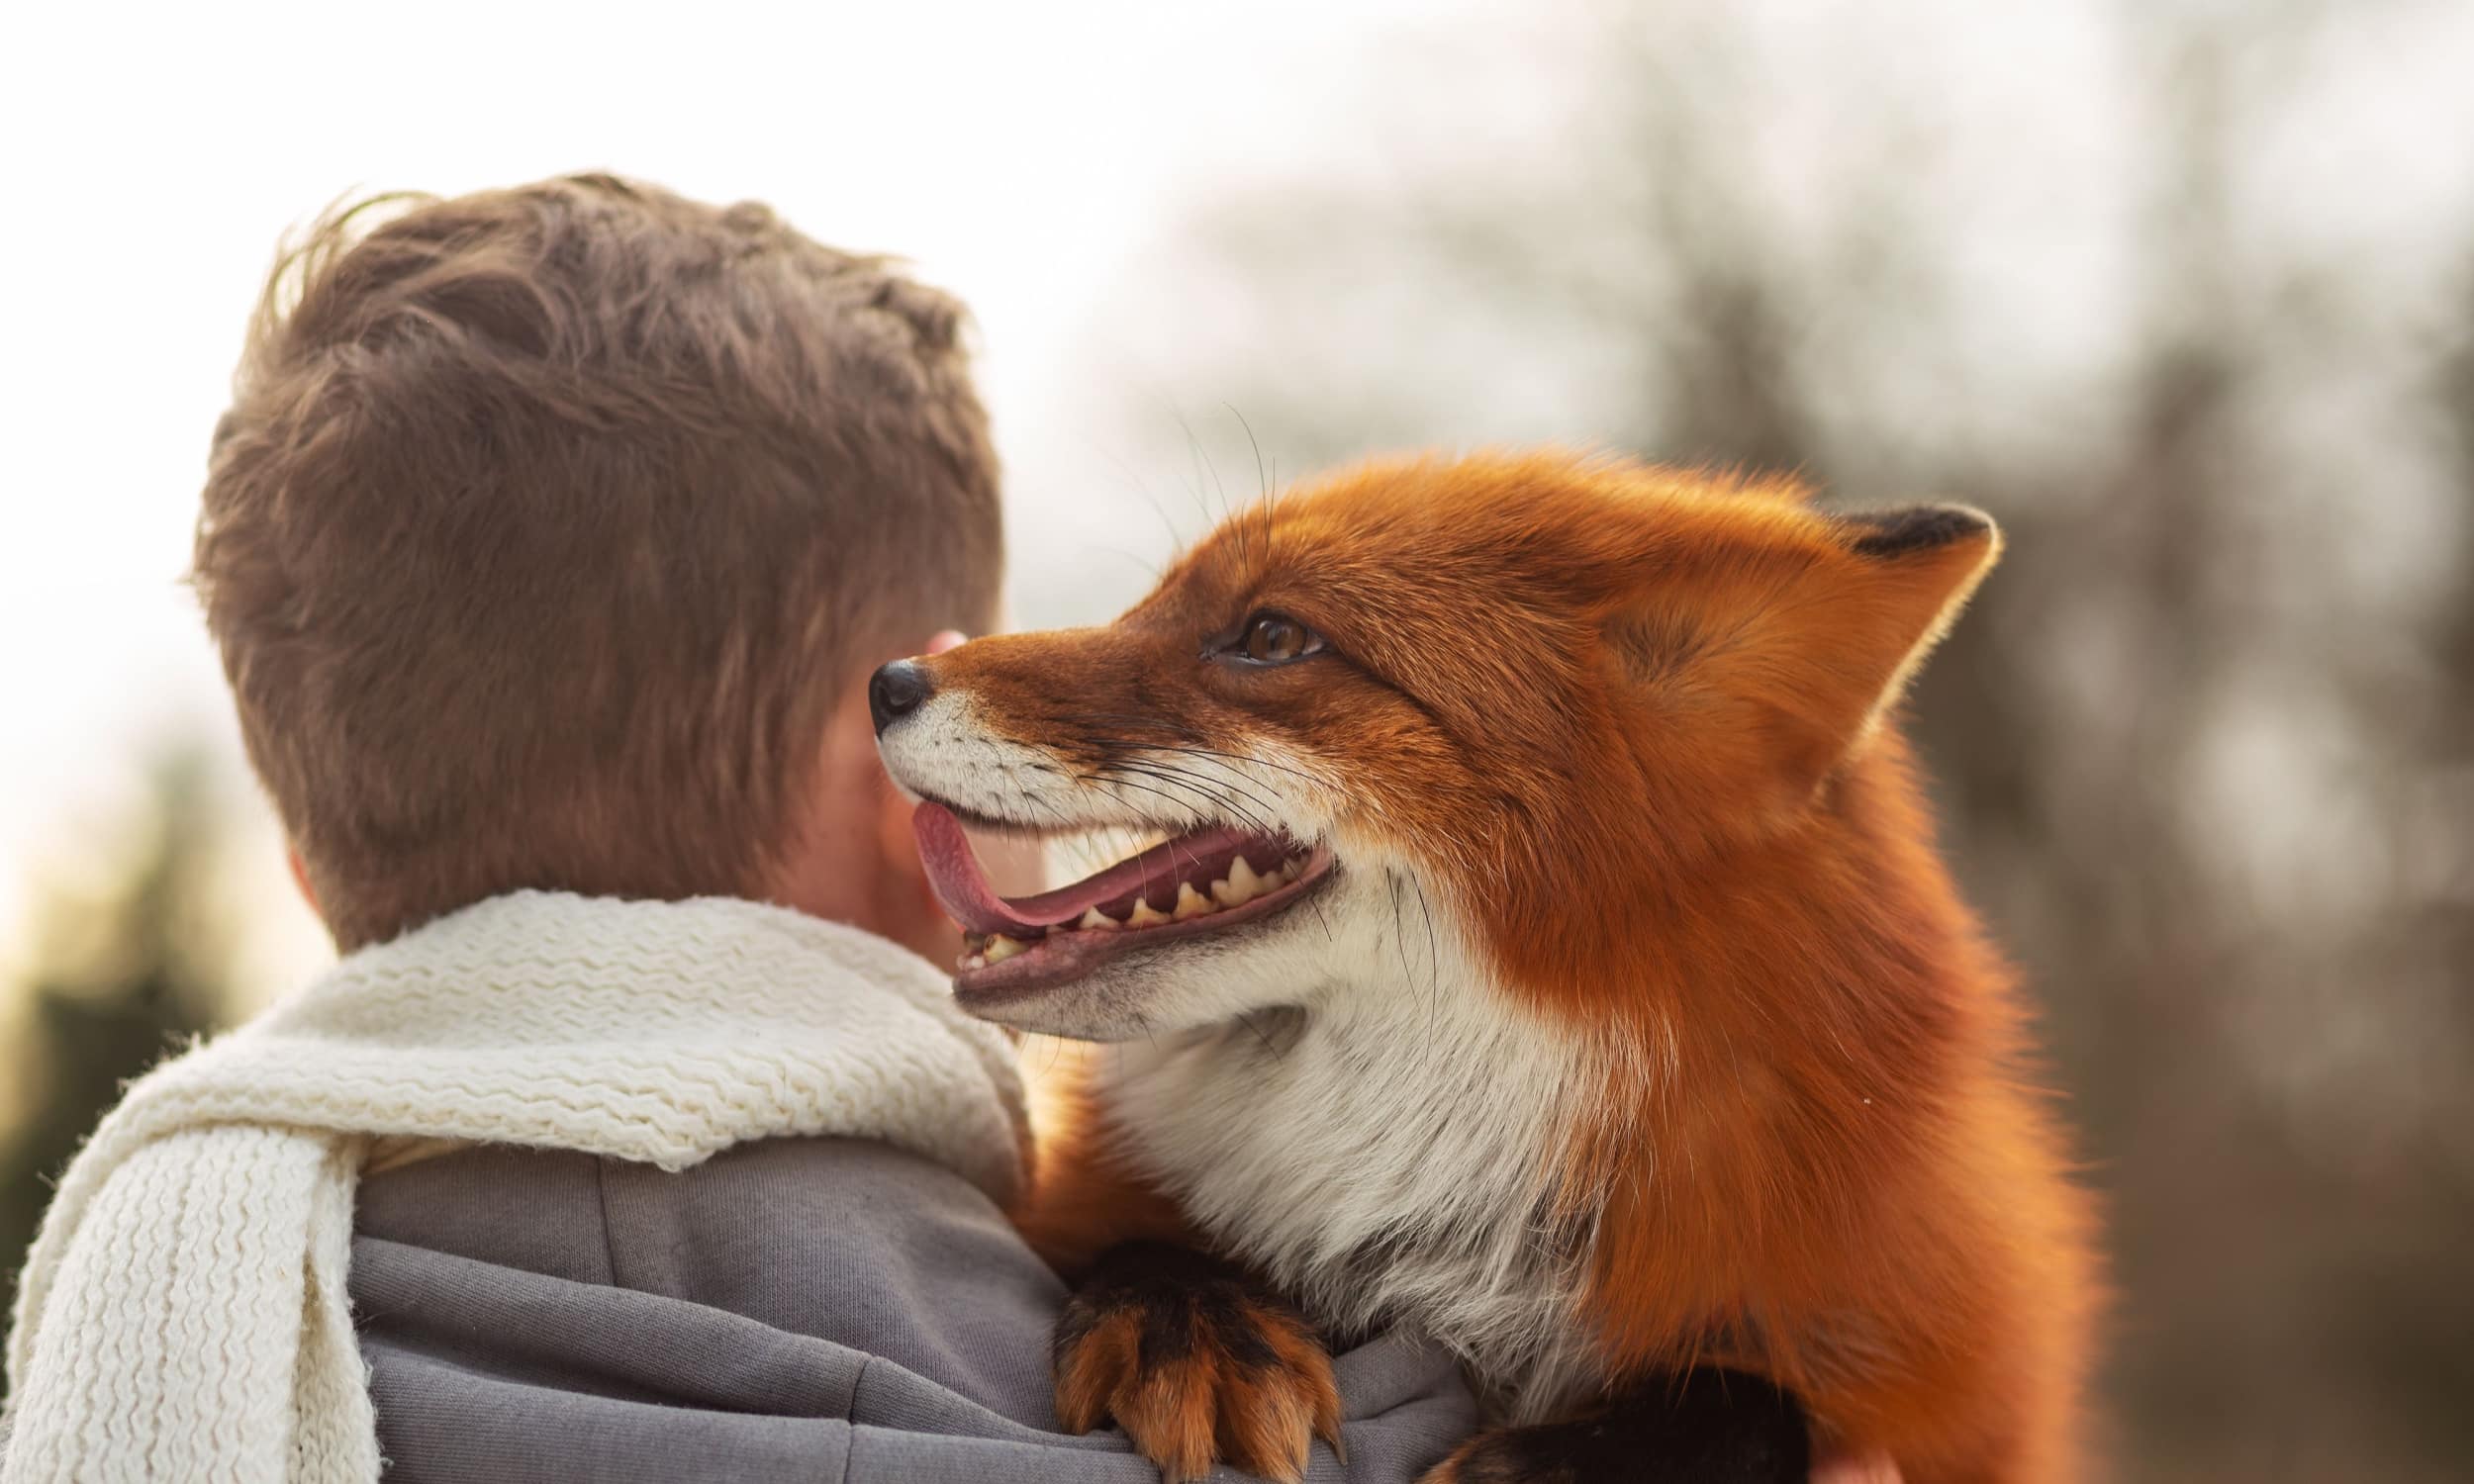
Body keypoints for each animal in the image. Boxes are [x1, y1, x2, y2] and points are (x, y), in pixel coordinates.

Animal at [869, 452, 2100, 1484]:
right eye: (1155, 605)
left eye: (1270, 637)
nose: (888, 681)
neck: (1452, 1225)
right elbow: (1143, 1244)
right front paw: (1193, 1322)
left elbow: (1756, 1402)